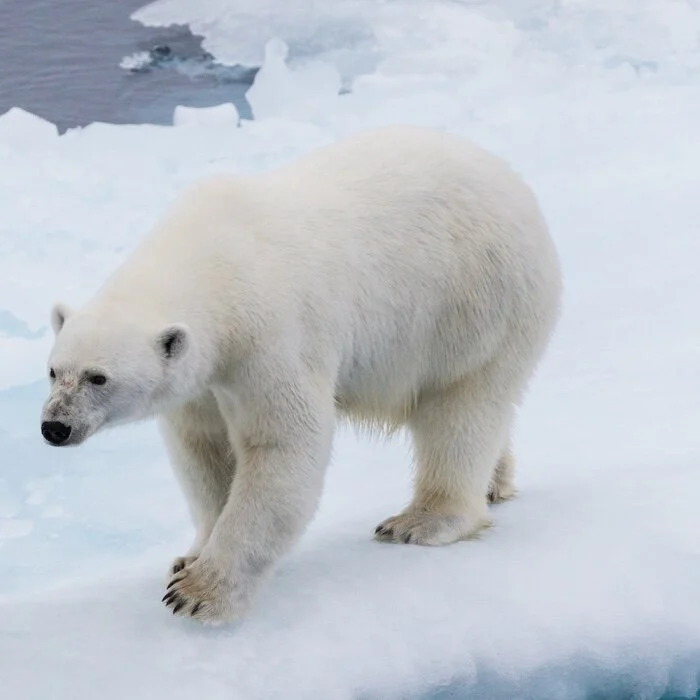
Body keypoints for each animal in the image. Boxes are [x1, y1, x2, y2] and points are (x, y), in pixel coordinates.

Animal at [40, 125, 562, 624]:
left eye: (98, 378)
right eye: (53, 371)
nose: (54, 427)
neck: (213, 260)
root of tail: (515, 185)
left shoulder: (269, 336)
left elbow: (283, 444)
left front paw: (198, 593)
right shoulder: (204, 378)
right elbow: (204, 450)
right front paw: (189, 557)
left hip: (474, 303)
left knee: (460, 409)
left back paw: (421, 520)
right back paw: (496, 481)